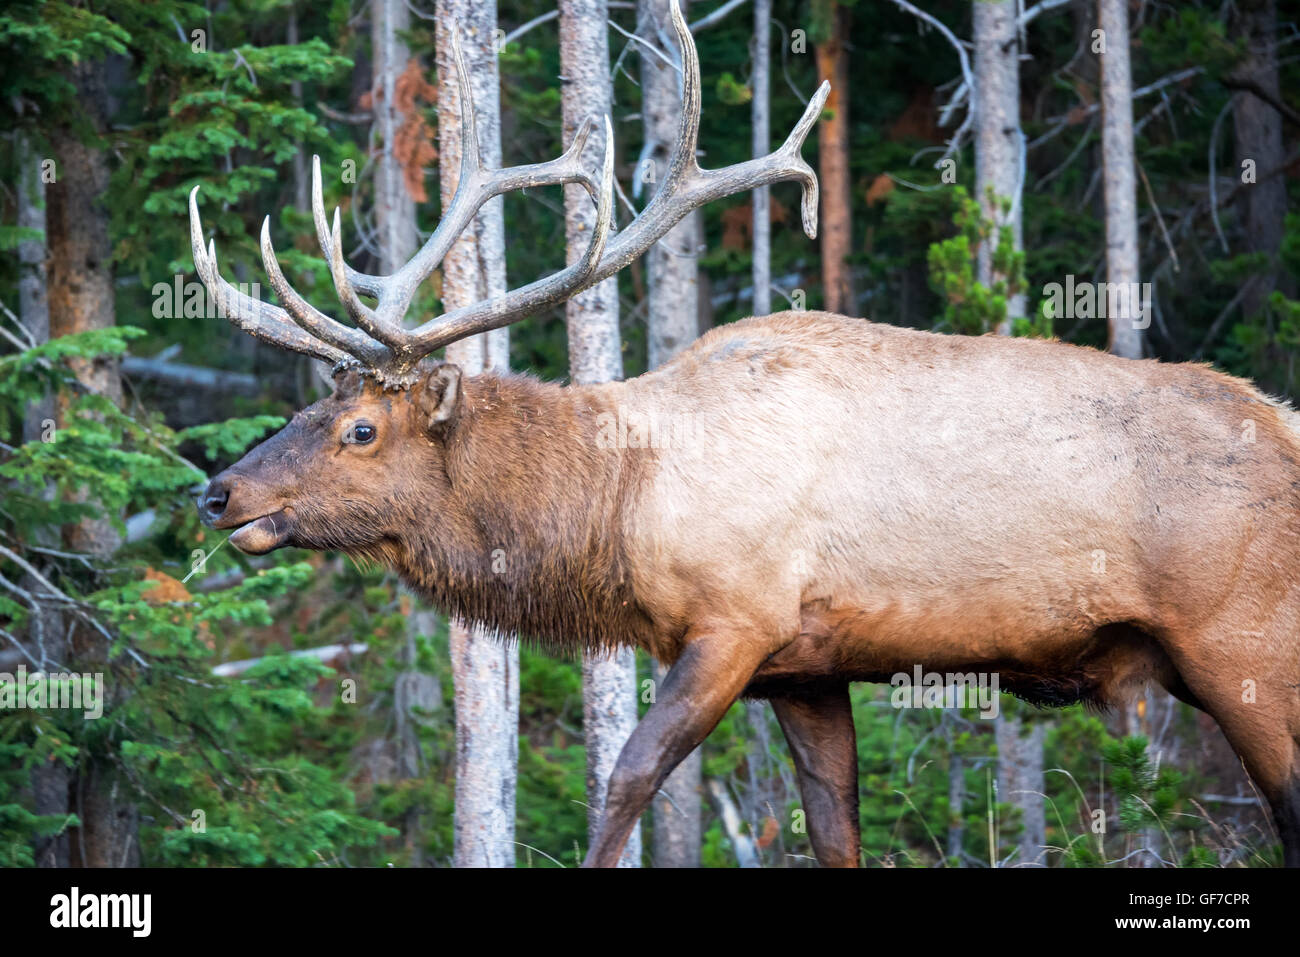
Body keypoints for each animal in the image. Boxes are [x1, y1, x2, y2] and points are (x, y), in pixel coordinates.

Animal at [190, 7, 1300, 869]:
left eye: (361, 428)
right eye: (313, 408)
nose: (219, 492)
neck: (619, 504)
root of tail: (1286, 426)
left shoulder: (735, 622)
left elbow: (627, 777)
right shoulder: (806, 668)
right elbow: (833, 830)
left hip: (1240, 639)